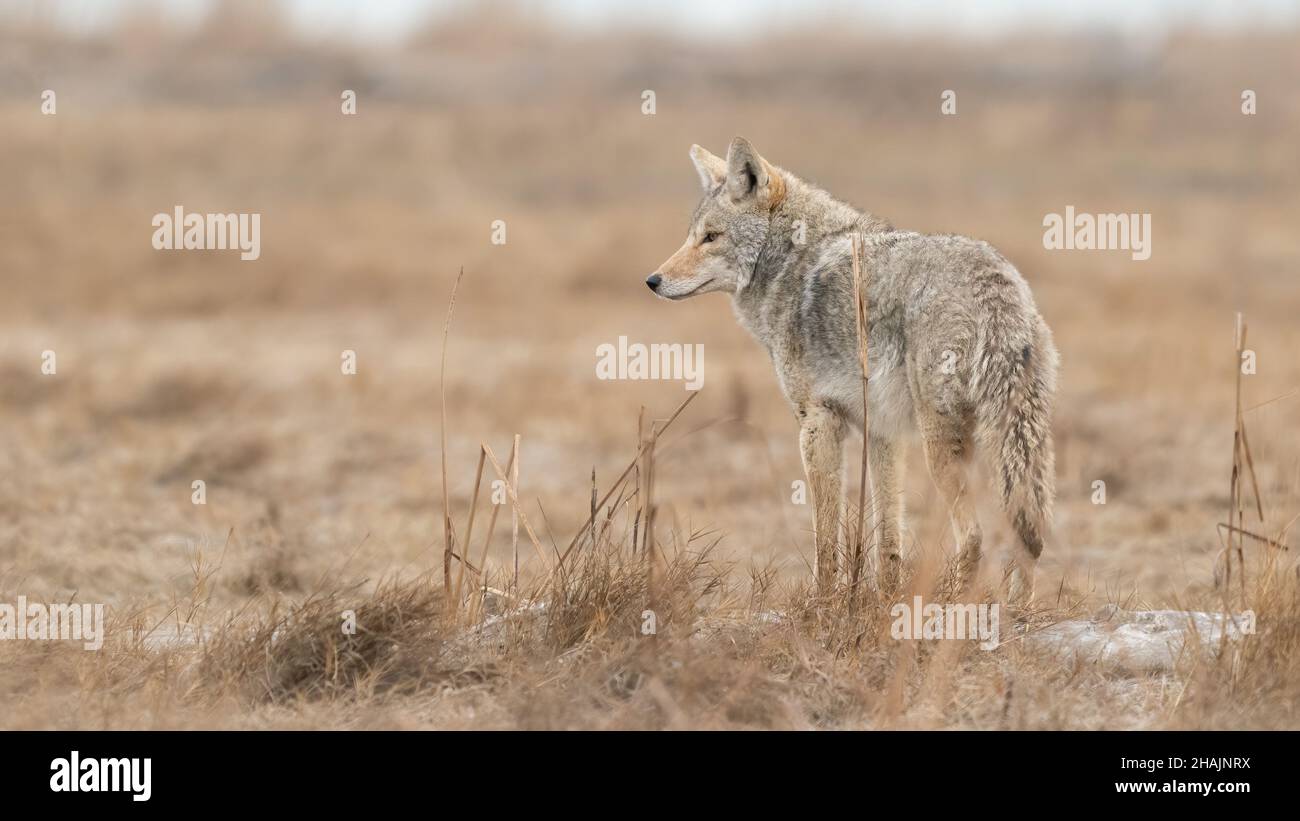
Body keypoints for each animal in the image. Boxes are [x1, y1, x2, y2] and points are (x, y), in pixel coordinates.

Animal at [647, 137, 1057, 603]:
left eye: (711, 237)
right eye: (692, 236)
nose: (653, 280)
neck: (792, 263)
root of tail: (995, 281)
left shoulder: (817, 421)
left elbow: (826, 540)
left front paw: (821, 604)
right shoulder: (882, 431)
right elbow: (888, 541)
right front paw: (884, 600)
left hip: (942, 446)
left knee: (973, 536)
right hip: (1016, 443)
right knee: (1029, 535)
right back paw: (1017, 612)